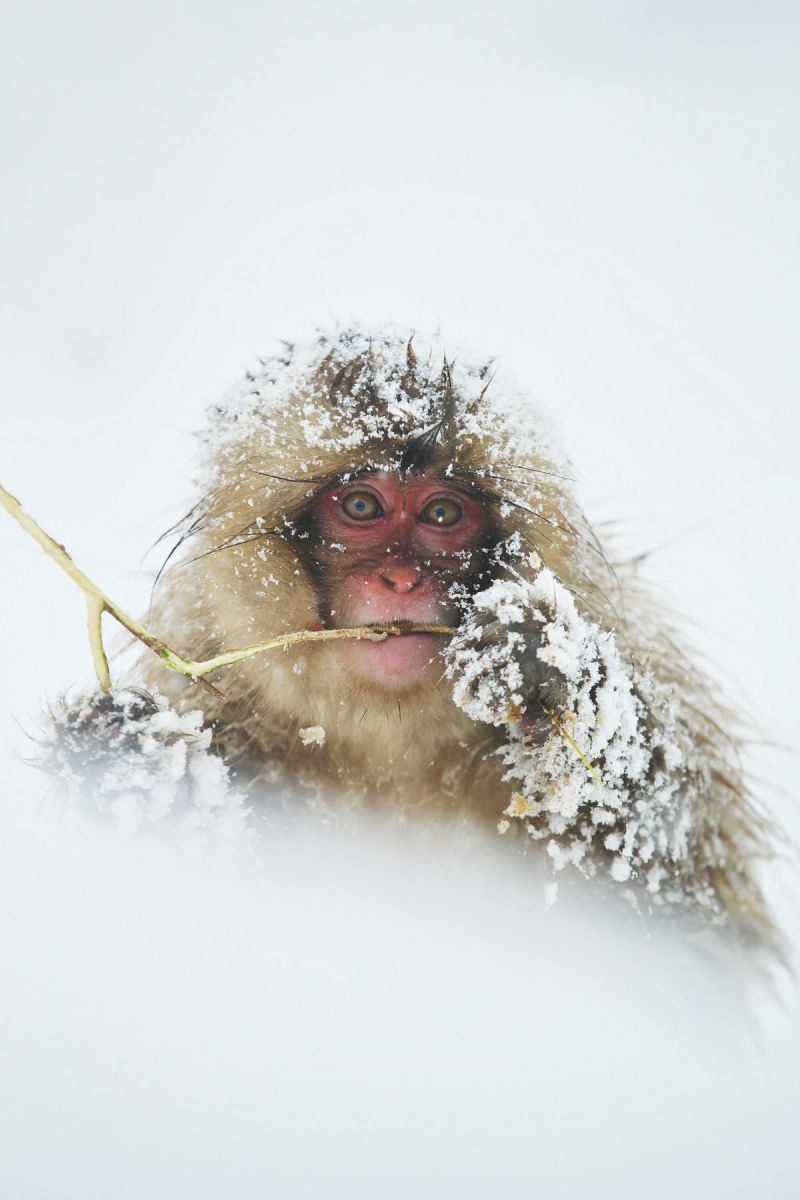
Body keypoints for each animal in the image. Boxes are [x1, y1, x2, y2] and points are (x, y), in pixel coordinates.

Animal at [44, 324, 778, 947]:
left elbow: (690, 924)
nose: (400, 580)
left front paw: (547, 668)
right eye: (362, 505)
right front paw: (125, 765)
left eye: (443, 514)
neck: (387, 739)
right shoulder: (210, 697)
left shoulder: (636, 640)